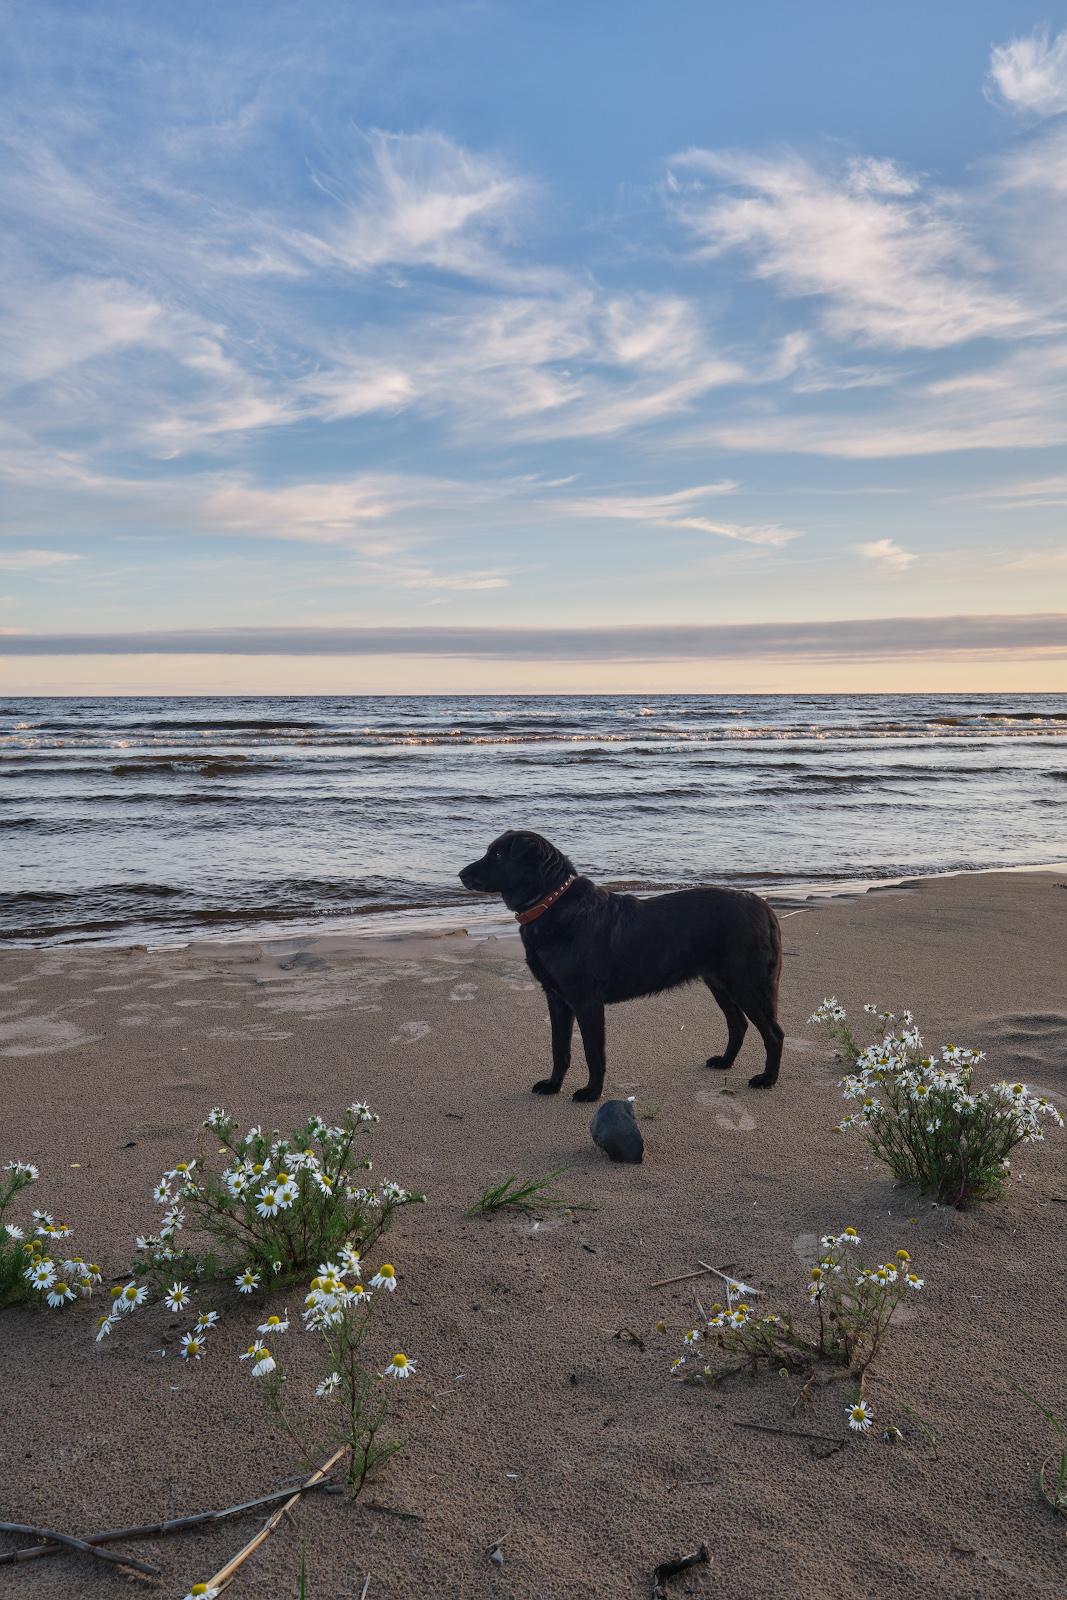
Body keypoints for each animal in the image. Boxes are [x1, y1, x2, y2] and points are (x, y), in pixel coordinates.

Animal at [460, 838, 783, 1100]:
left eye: (498, 854)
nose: (461, 874)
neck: (551, 905)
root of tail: (762, 905)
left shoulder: (586, 1002)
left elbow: (593, 1053)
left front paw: (592, 1092)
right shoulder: (556, 999)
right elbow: (558, 1049)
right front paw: (553, 1086)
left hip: (748, 984)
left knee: (774, 1033)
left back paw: (768, 1079)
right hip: (719, 983)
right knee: (738, 1024)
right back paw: (725, 1062)